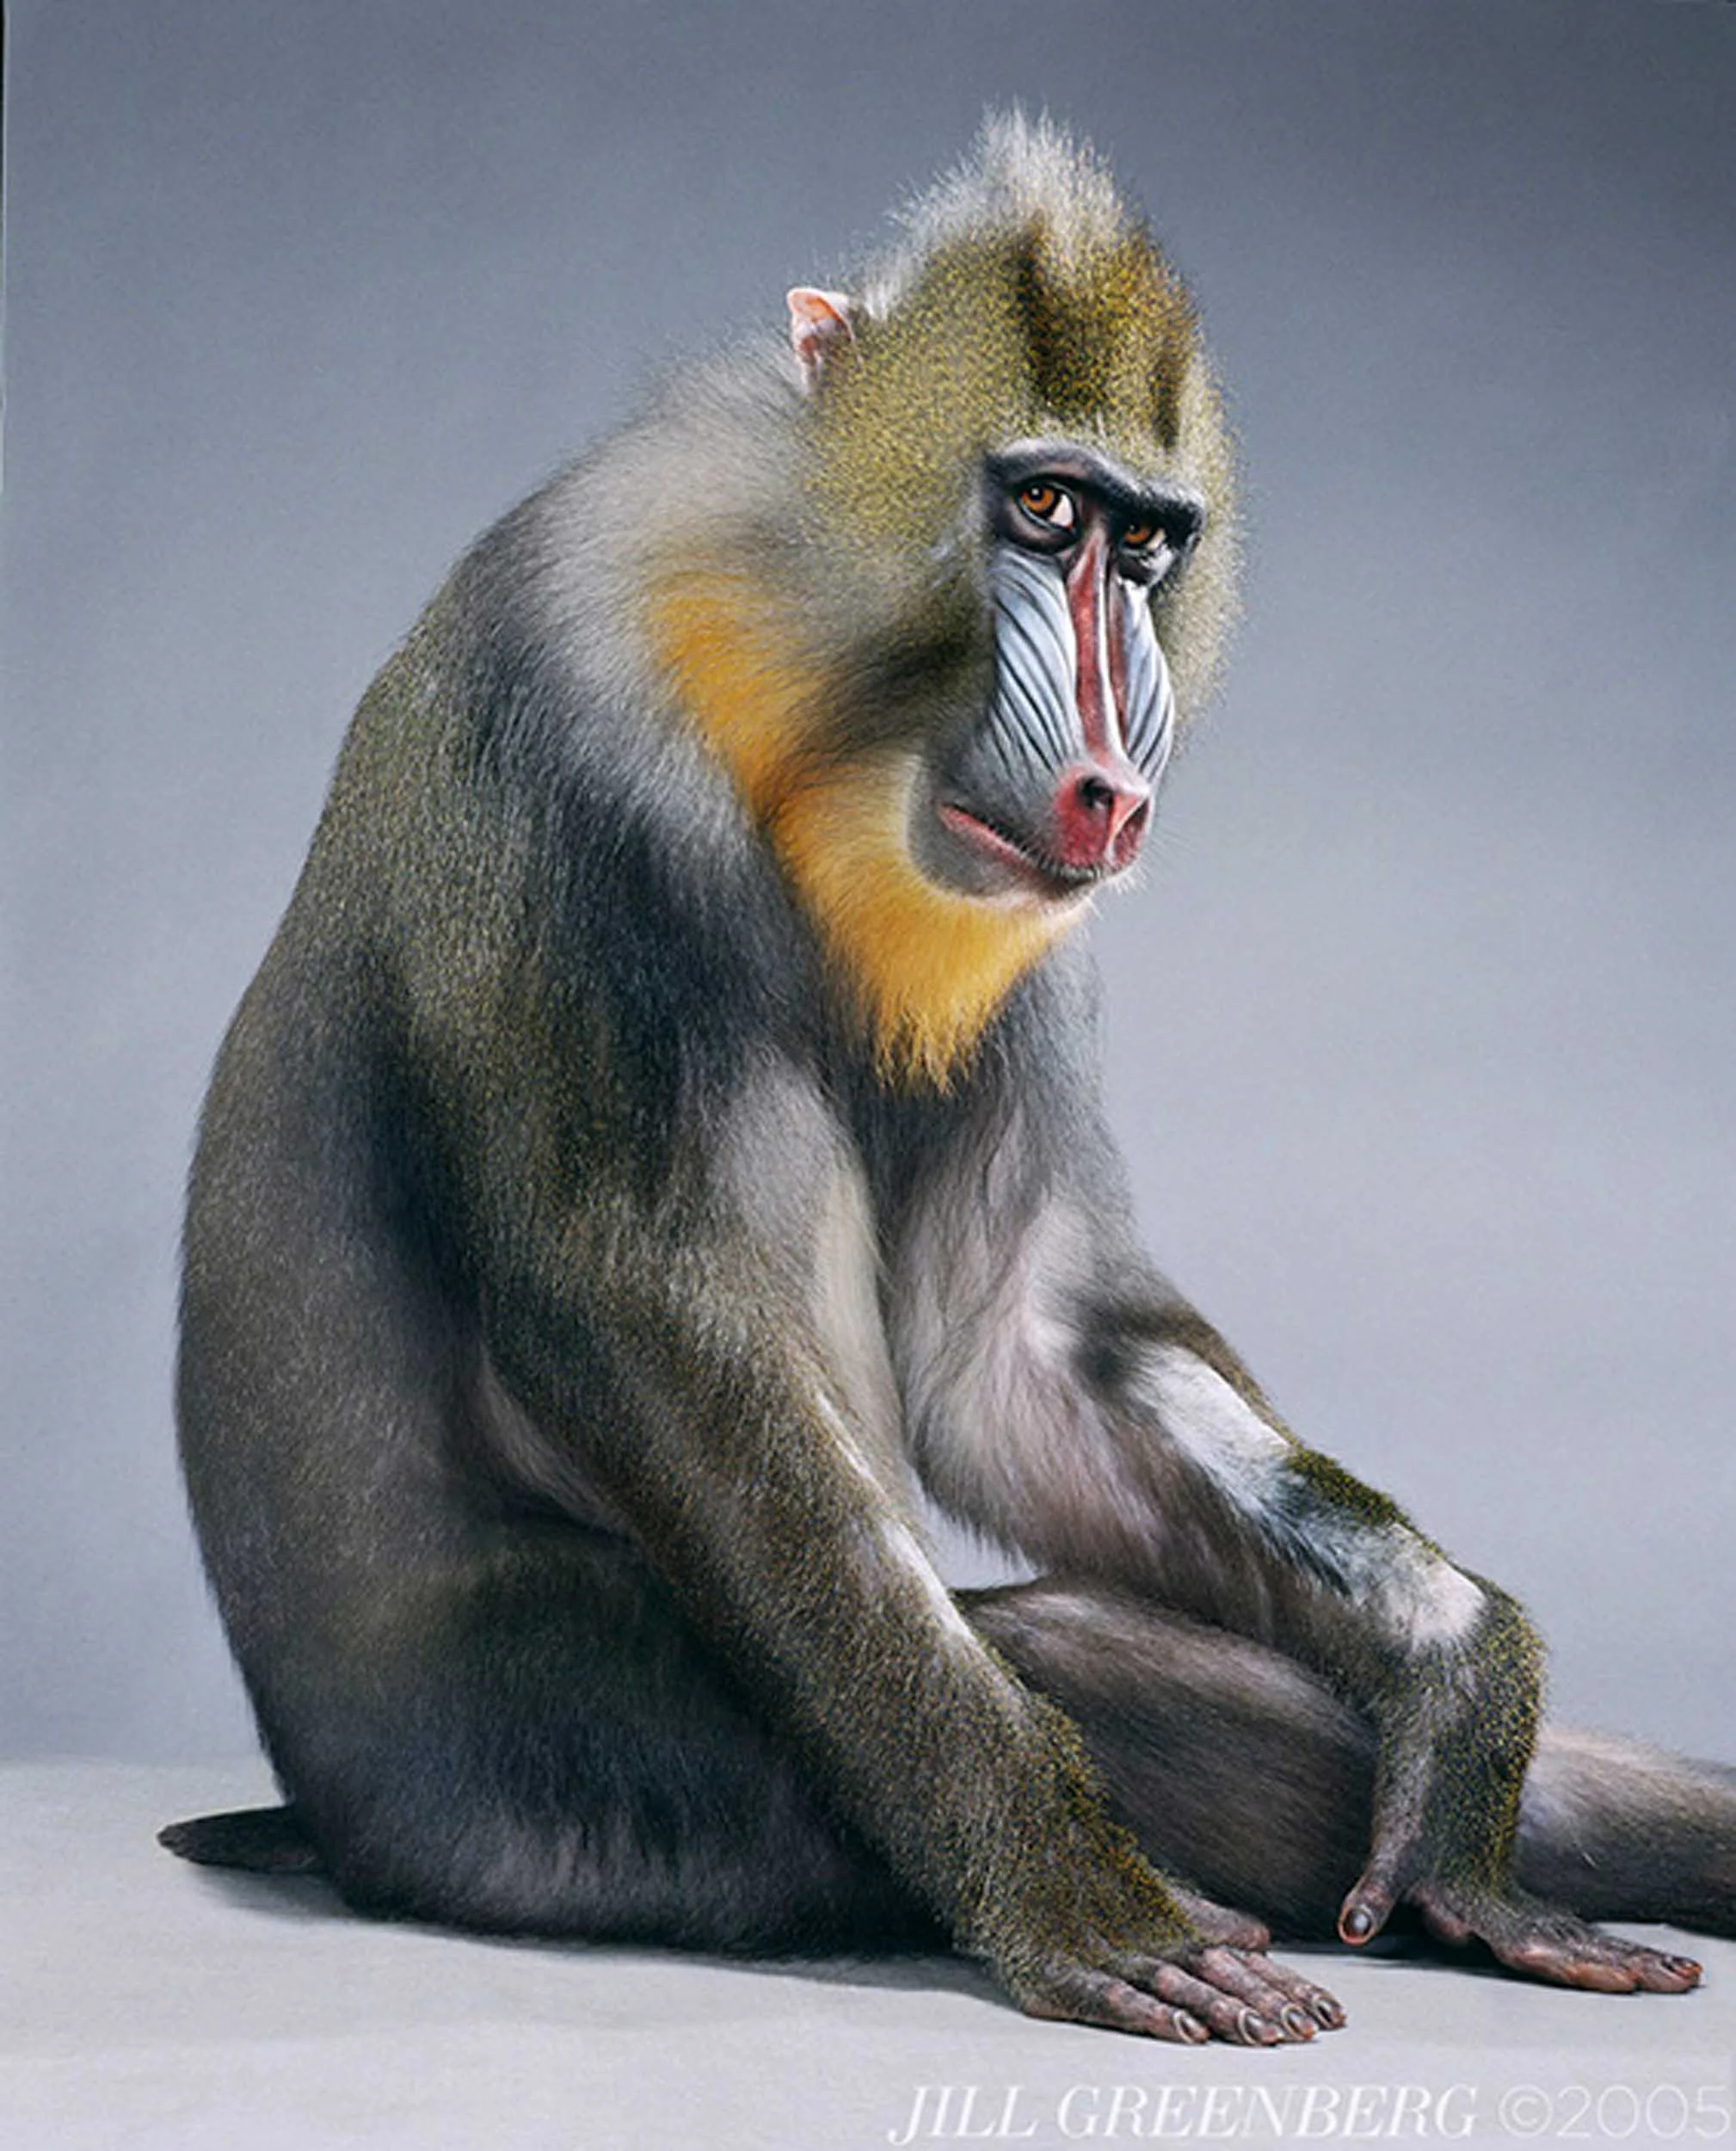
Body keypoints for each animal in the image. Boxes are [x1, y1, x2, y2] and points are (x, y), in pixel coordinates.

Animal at [162, 115, 1735, 2048]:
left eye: (1146, 548)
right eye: (1042, 512)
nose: (1109, 787)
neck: (779, 675)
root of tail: (323, 1809)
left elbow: (1021, 1346)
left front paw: (1455, 1676)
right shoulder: (569, 746)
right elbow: (667, 1326)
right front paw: (1075, 1894)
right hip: (525, 1773)